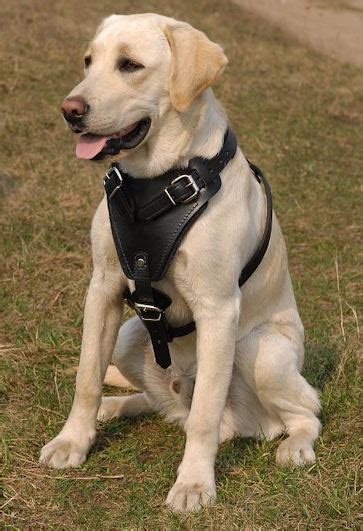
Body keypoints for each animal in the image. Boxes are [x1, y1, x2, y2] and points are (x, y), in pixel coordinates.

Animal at [38, 11, 320, 512]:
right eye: (88, 61)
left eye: (130, 64)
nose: (70, 111)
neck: (155, 183)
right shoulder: (103, 288)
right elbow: (87, 376)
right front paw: (73, 441)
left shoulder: (218, 308)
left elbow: (206, 411)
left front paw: (193, 484)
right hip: (130, 336)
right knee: (157, 403)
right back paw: (116, 407)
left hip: (260, 351)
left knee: (304, 409)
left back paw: (297, 445)